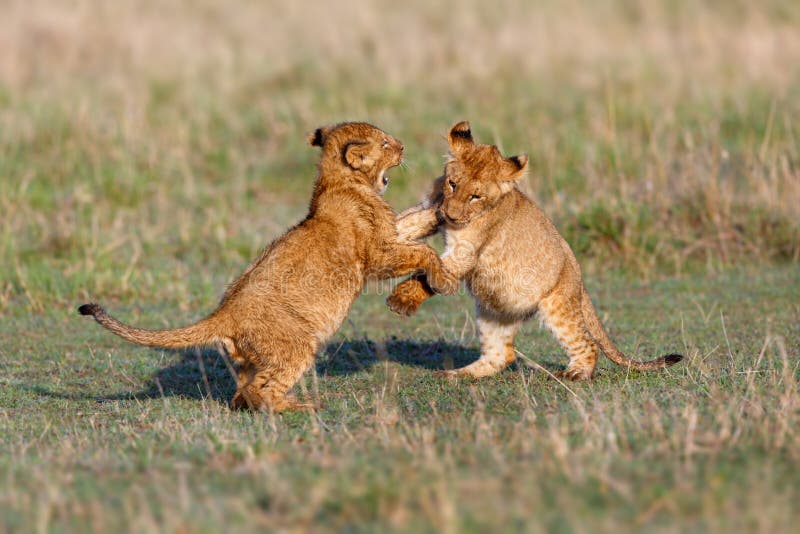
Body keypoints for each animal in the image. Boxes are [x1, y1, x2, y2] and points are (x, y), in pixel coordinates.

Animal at [79, 122, 458, 411]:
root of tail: (225, 313)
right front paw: (442, 278)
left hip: (253, 356)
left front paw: (445, 206)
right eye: (385, 143)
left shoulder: (391, 235)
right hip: (296, 344)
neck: (340, 182)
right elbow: (422, 251)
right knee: (260, 388)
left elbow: (417, 227)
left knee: (240, 392)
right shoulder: (375, 256)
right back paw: (295, 406)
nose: (404, 147)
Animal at [387, 121, 683, 380]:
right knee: (501, 355)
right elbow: (401, 227)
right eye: (453, 184)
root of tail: (579, 278)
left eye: (476, 196)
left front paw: (402, 299)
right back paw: (455, 375)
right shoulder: (427, 207)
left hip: (557, 306)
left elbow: (432, 275)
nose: (450, 215)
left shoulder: (465, 253)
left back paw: (577, 374)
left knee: (587, 344)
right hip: (494, 310)